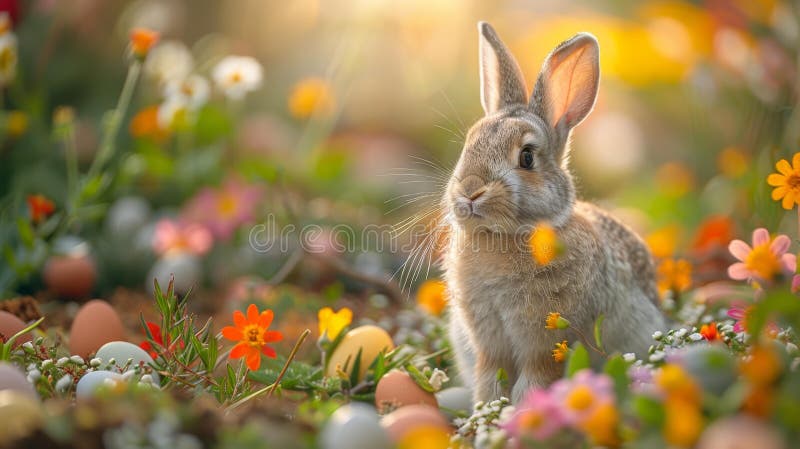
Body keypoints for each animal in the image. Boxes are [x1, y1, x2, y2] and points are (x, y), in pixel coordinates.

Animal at [443, 22, 666, 404]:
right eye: (468, 145)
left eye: (527, 157)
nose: (470, 190)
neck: (508, 236)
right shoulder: (489, 345)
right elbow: (490, 379)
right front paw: (485, 411)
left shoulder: (547, 344)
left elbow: (534, 379)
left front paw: (519, 412)